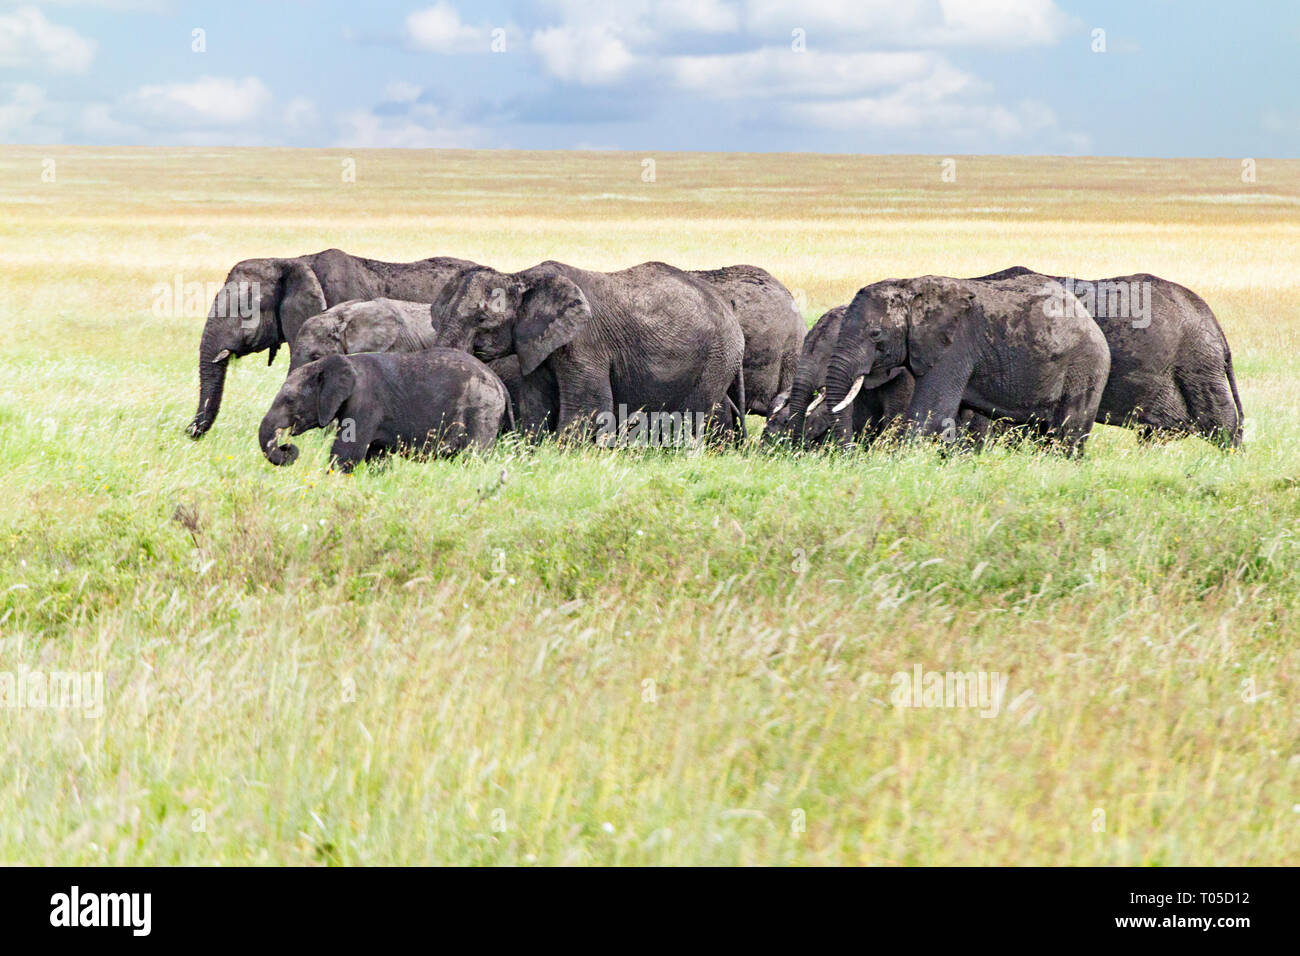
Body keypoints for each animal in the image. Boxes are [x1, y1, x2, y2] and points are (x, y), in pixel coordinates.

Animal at [259, 350, 510, 472]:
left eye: (290, 400)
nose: (287, 447)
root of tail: (500, 384)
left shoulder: (366, 403)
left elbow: (347, 454)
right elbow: (376, 457)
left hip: (481, 411)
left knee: (473, 457)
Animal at [429, 260, 747, 443]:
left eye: (482, 320)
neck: (520, 276)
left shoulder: (584, 341)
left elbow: (587, 405)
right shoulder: (539, 343)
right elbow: (536, 403)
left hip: (717, 359)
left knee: (691, 416)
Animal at [822, 274, 1111, 456]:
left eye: (875, 334)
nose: (851, 458)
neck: (908, 287)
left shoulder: (954, 346)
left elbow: (931, 413)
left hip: (1085, 368)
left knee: (1068, 433)